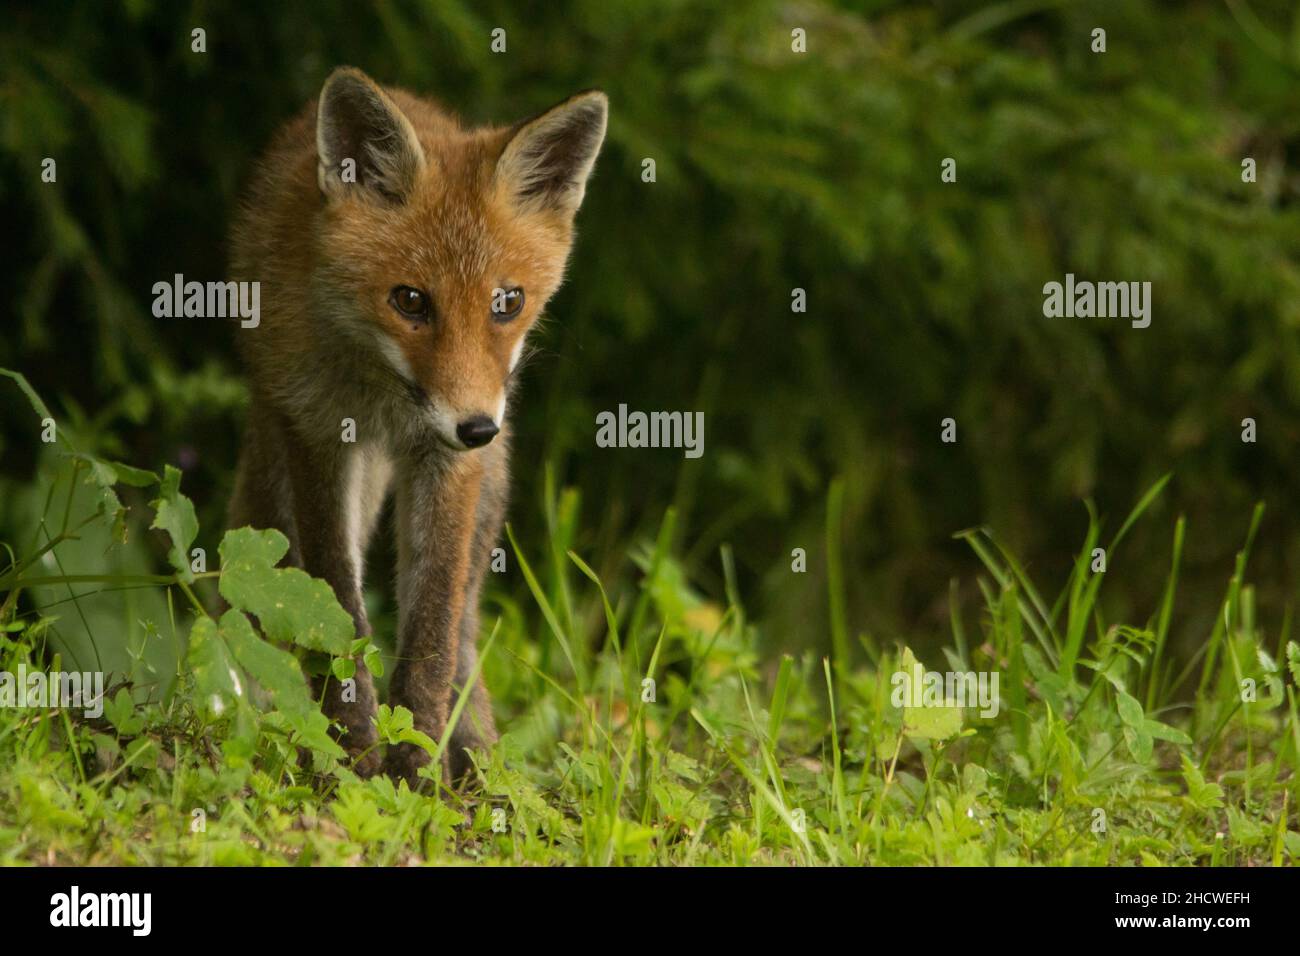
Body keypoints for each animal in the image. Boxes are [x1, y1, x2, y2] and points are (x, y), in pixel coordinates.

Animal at [226, 66, 608, 784]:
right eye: (409, 301)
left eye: (507, 302)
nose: (478, 427)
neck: (385, 399)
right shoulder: (319, 433)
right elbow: (336, 604)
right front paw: (351, 748)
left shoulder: (447, 462)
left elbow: (432, 627)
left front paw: (418, 768)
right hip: (268, 482)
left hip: (487, 495)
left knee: (464, 625)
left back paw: (479, 758)